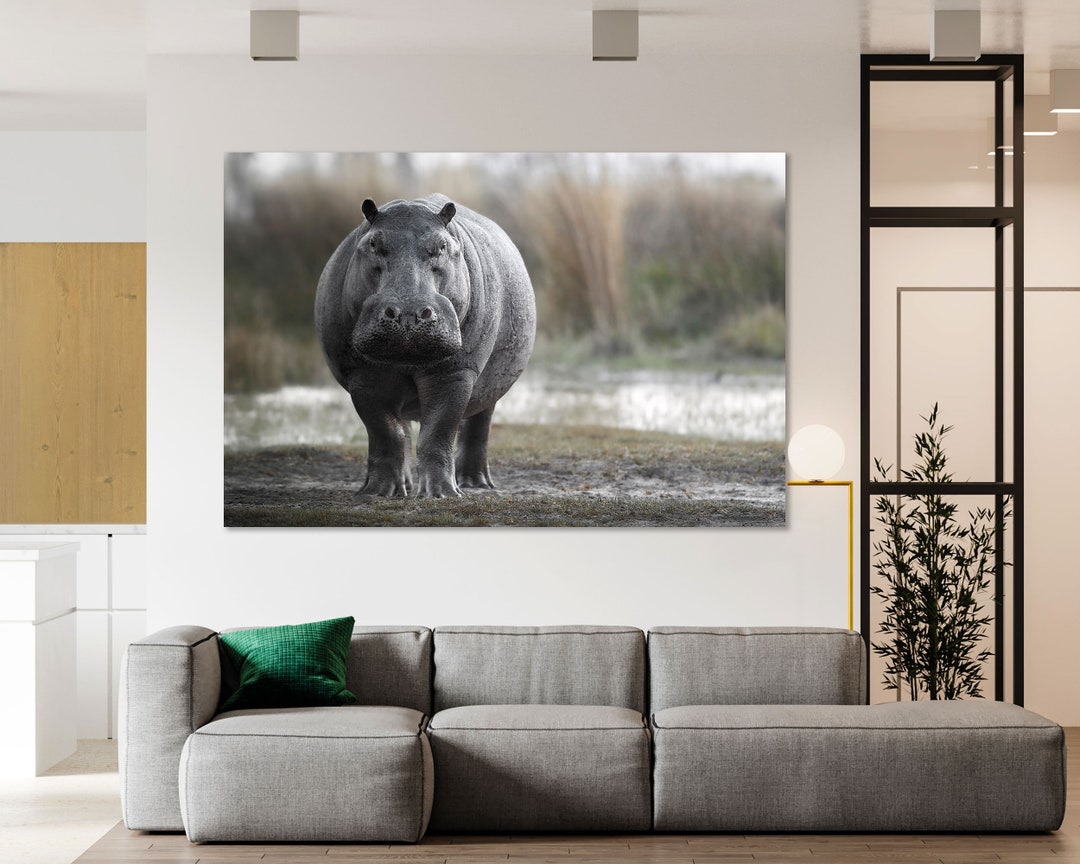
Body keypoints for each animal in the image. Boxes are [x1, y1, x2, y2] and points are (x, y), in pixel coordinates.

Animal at [314, 194, 536, 498]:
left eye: (442, 246)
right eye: (373, 244)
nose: (408, 313)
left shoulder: (456, 372)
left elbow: (439, 431)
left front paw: (442, 494)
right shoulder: (361, 375)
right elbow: (385, 433)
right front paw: (377, 492)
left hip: (490, 386)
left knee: (479, 424)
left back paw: (474, 483)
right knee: (404, 428)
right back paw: (405, 487)